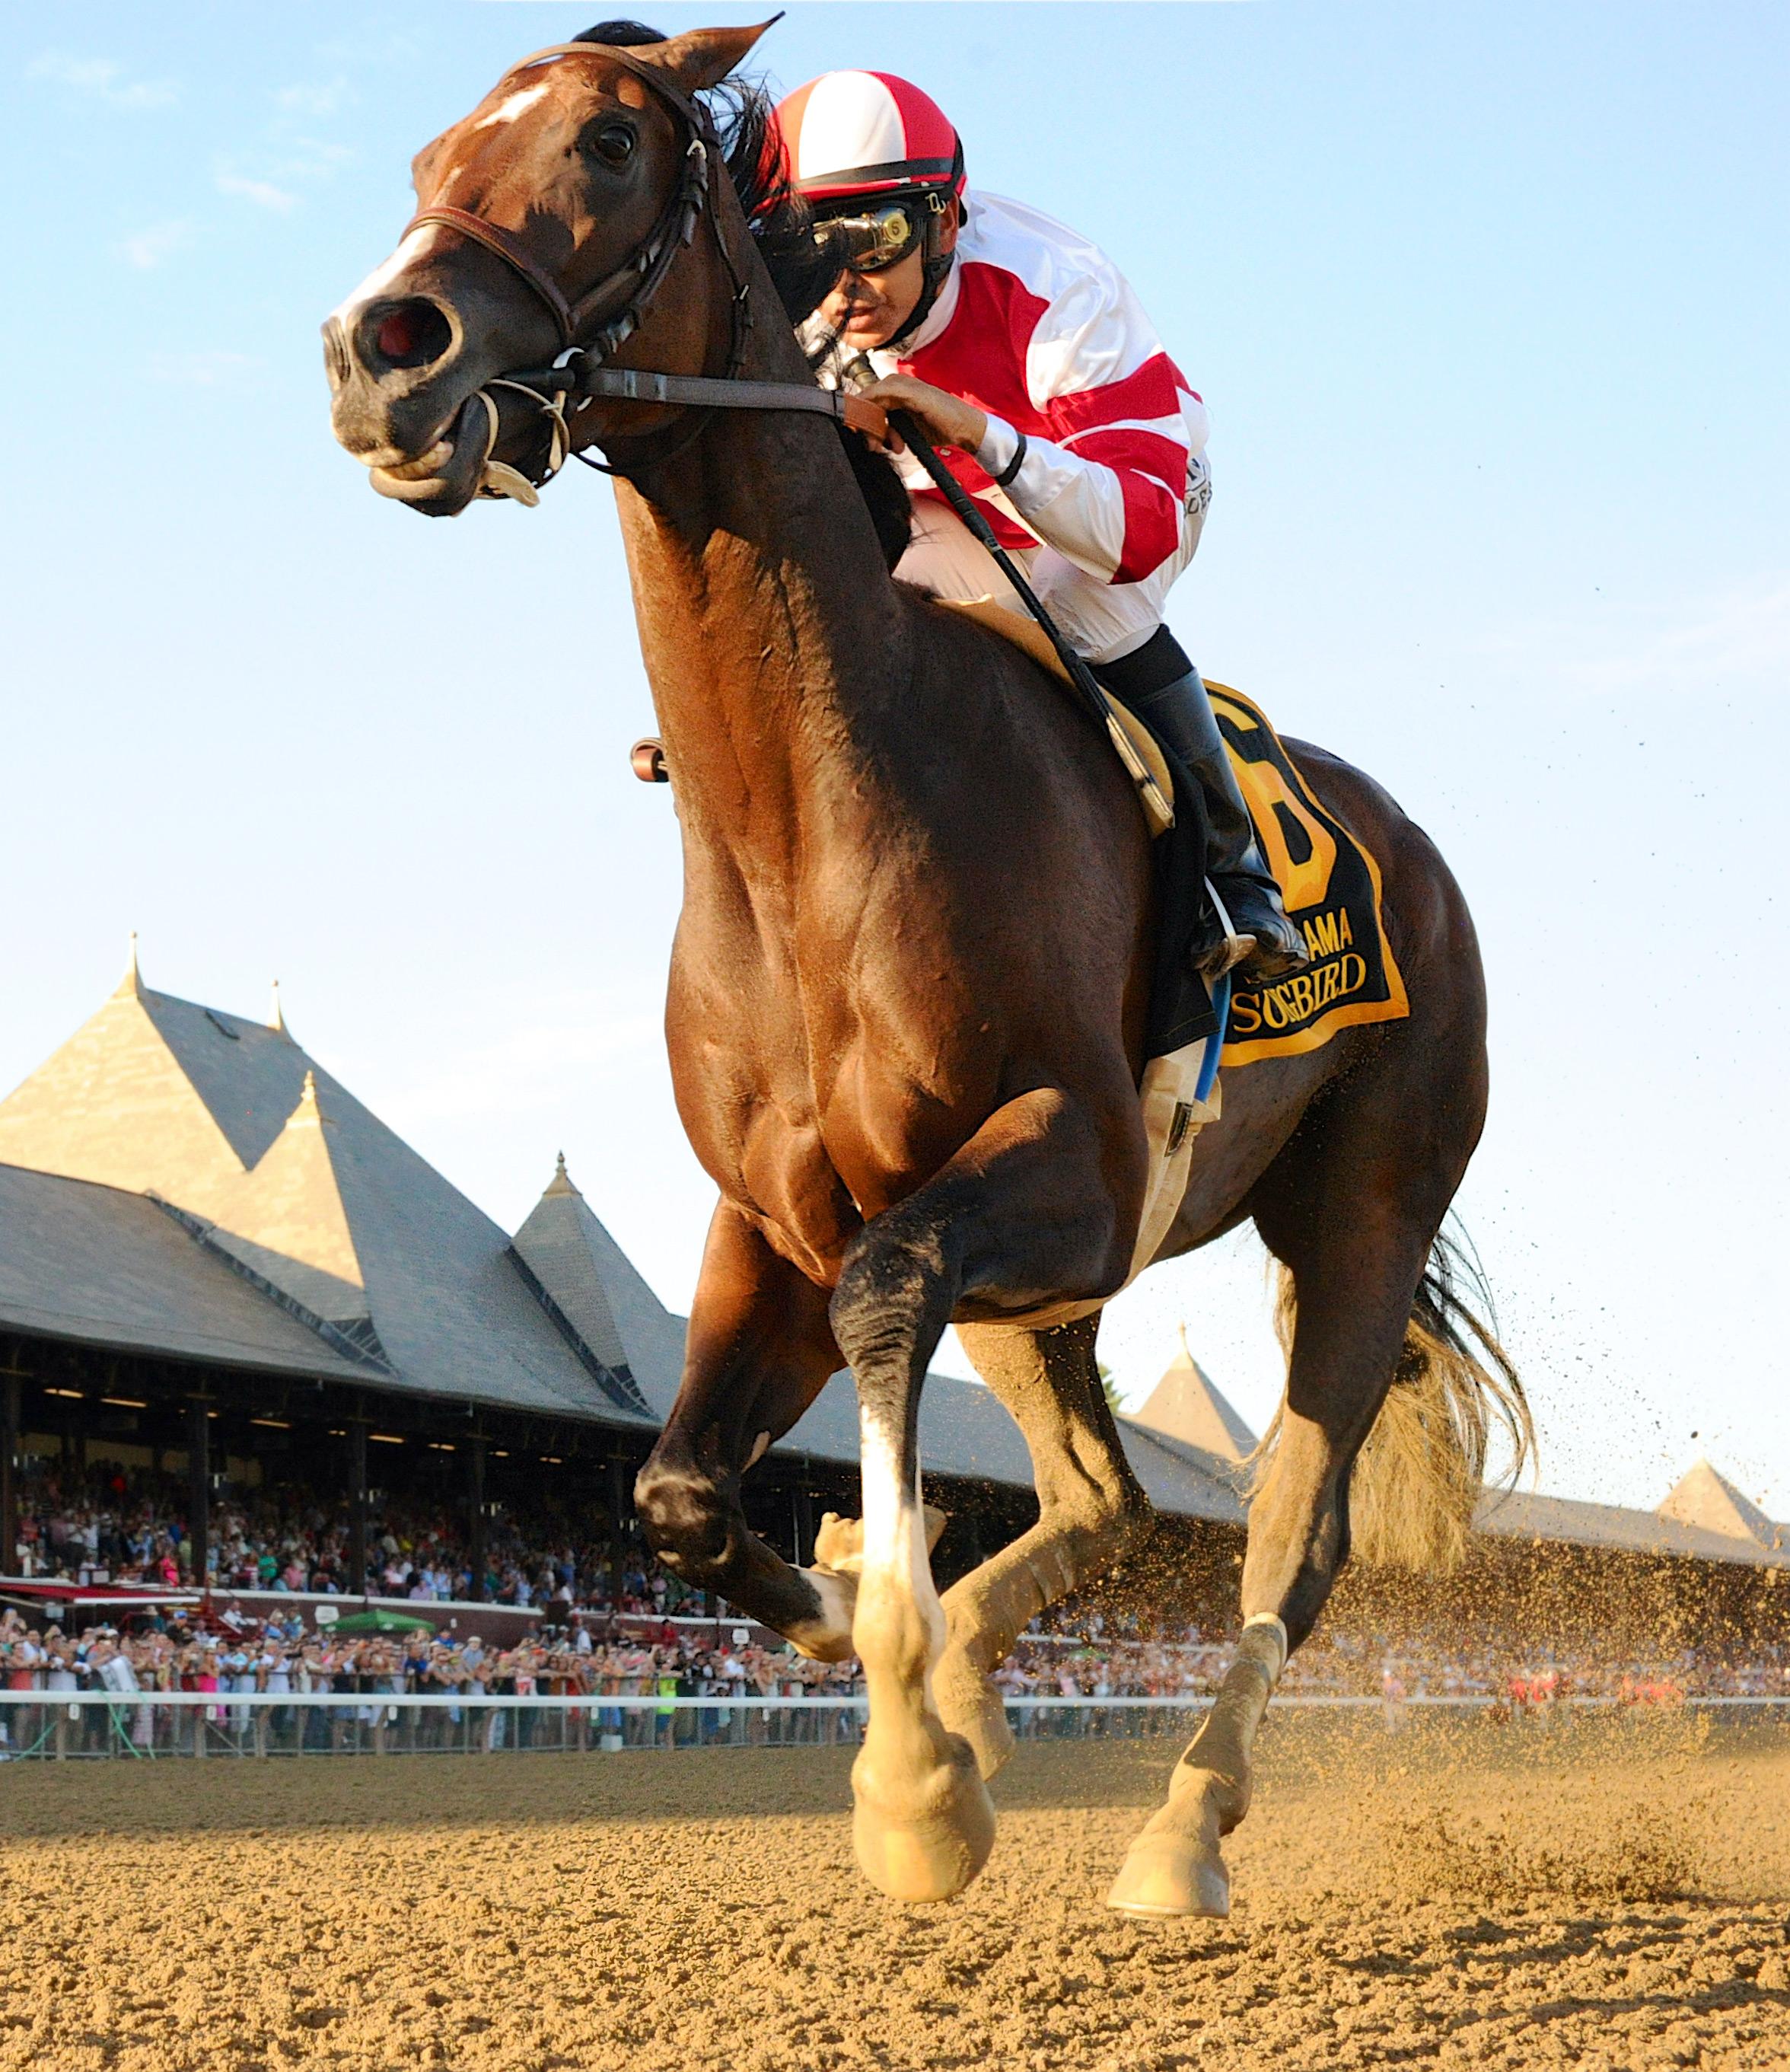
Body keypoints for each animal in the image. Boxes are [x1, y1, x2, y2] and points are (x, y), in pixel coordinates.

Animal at [323, 21, 1529, 1916]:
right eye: (435, 151)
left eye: (605, 143)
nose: (383, 352)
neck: (813, 819)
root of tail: (1416, 847)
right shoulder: (777, 1206)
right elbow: (679, 1489)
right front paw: (862, 1625)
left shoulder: (1074, 1166)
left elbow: (888, 1299)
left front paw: (909, 1769)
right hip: (1053, 1289)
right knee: (1106, 1494)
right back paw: (974, 1673)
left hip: (1364, 1205)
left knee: (1291, 1523)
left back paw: (1183, 1816)